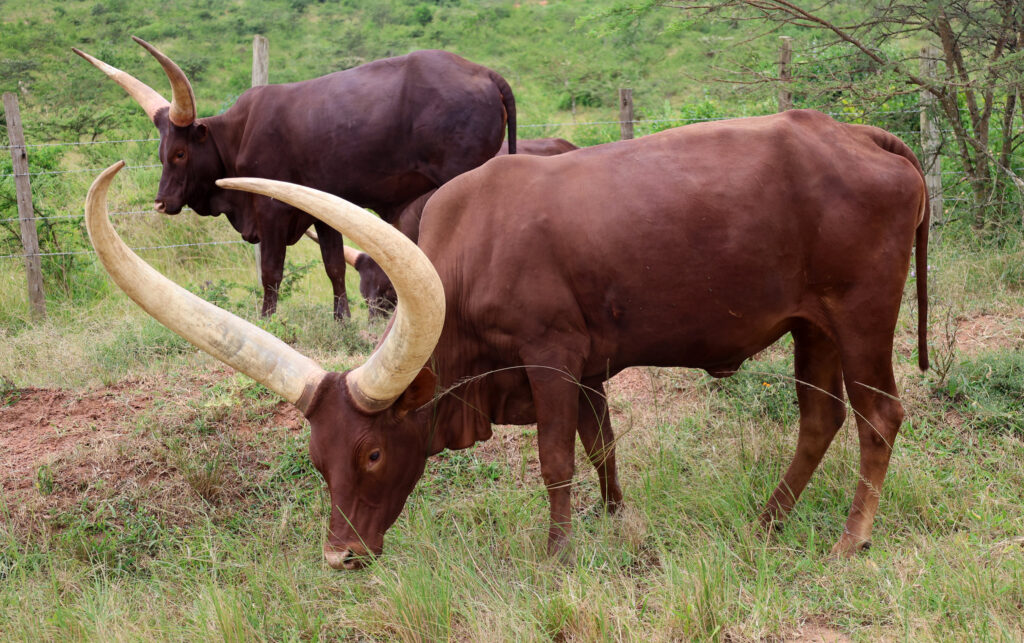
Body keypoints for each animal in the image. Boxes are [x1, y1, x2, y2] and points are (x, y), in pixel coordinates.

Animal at [74, 37, 516, 319]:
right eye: (161, 153)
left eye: (180, 153)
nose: (162, 202)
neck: (238, 135)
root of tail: (485, 73)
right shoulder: (325, 208)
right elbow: (334, 265)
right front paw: (342, 321)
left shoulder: (272, 208)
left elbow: (271, 270)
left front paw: (267, 319)